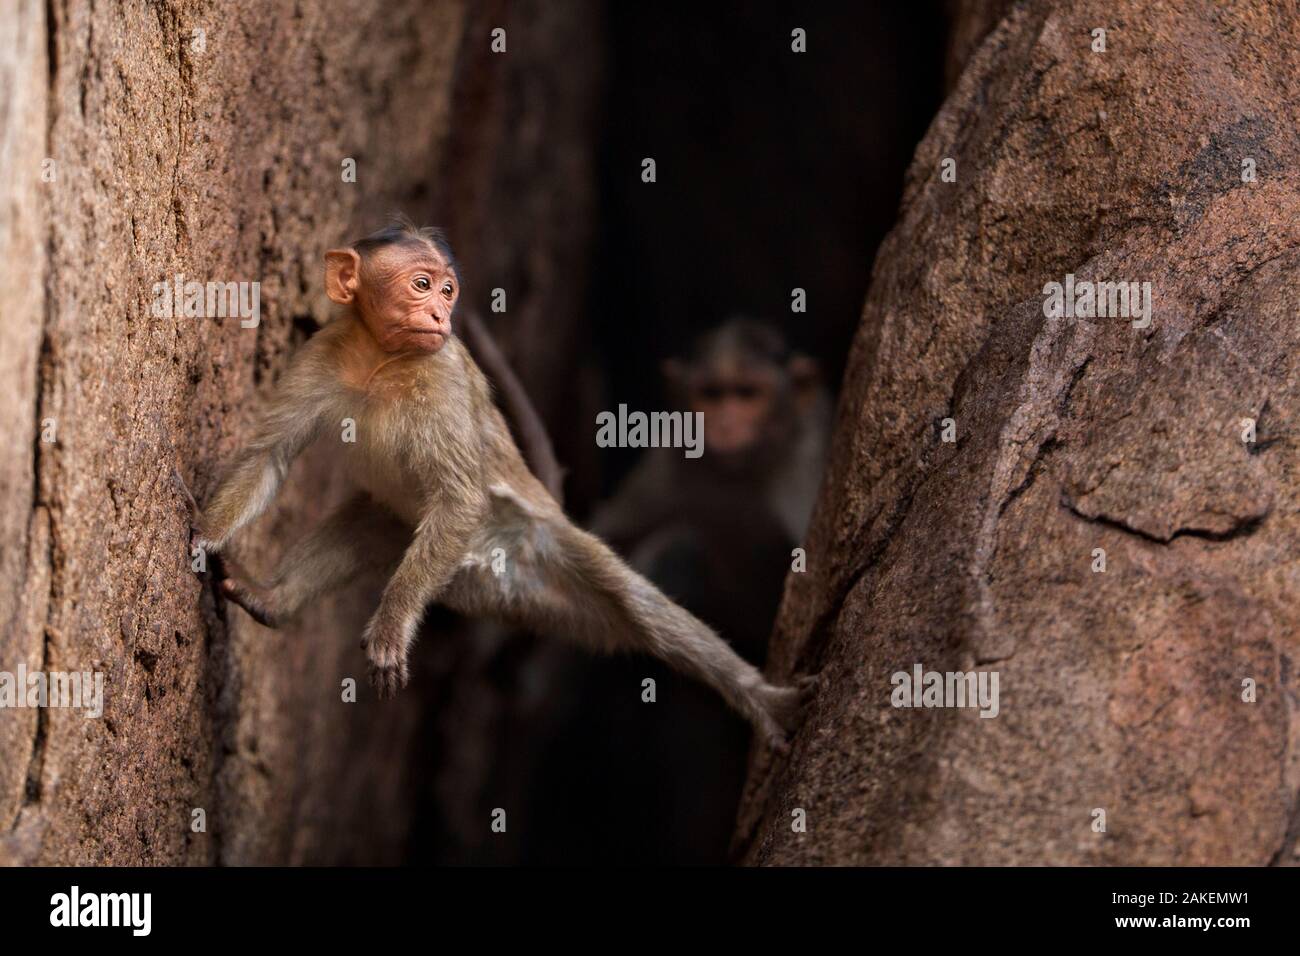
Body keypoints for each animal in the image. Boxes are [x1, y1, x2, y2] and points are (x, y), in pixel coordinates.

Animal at [190, 221, 808, 749]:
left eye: (447, 290)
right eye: (421, 285)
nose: (439, 314)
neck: (380, 360)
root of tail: (494, 581)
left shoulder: (439, 376)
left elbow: (460, 498)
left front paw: (390, 632)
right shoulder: (321, 356)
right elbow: (270, 458)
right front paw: (205, 539)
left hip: (541, 547)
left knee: (638, 607)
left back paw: (760, 698)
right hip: (425, 552)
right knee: (365, 528)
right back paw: (271, 600)